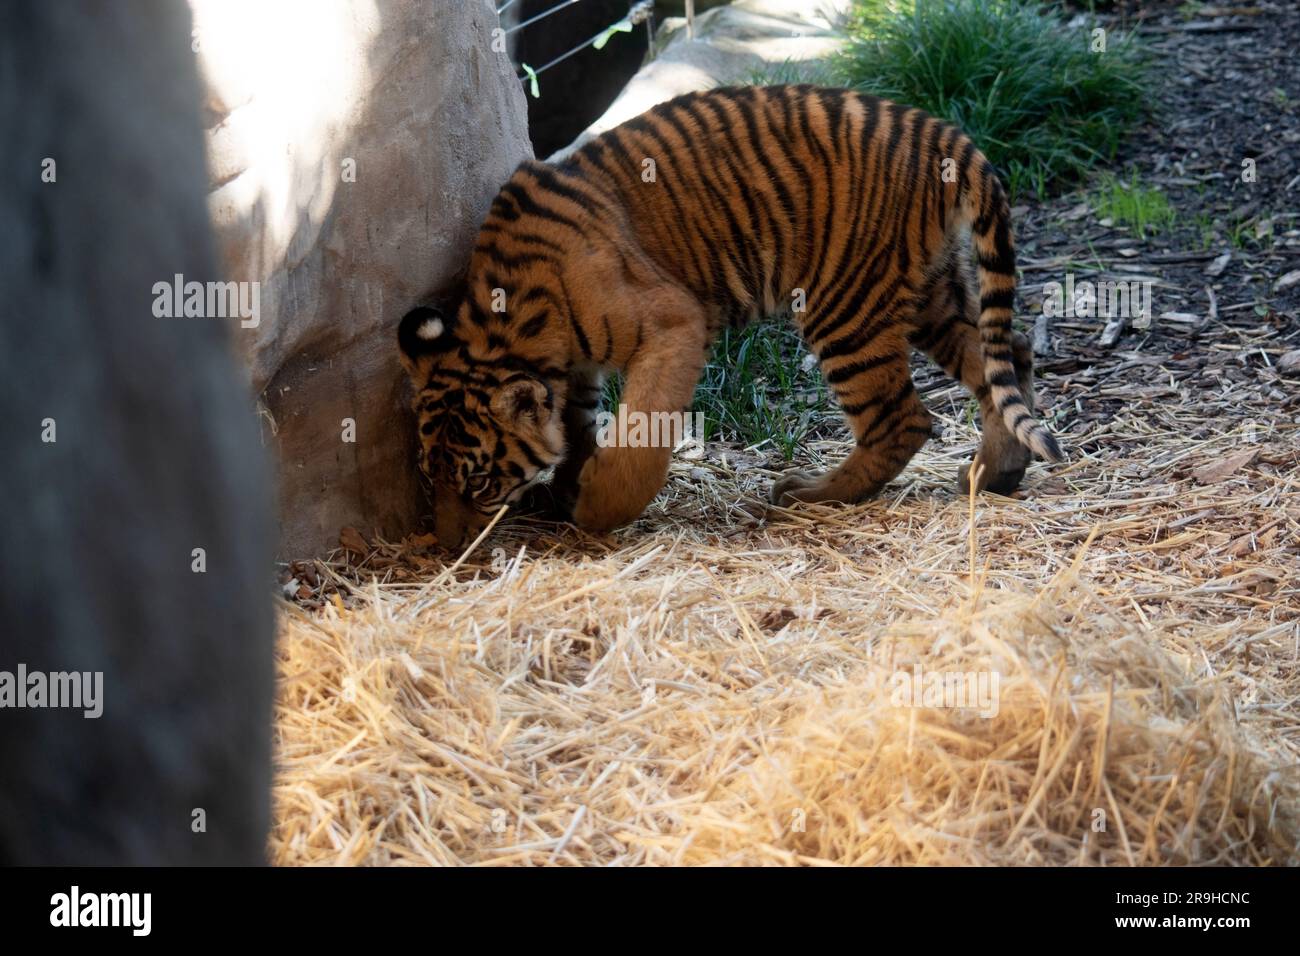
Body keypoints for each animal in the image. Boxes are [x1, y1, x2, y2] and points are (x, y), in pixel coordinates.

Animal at [398, 85, 1063, 549]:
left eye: (479, 484)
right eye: (430, 480)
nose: (447, 546)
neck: (503, 326)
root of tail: (943, 134)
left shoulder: (671, 323)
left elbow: (643, 435)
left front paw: (594, 506)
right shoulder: (576, 369)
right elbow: (577, 424)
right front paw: (568, 484)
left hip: (845, 305)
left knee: (902, 418)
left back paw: (808, 494)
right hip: (930, 294)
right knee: (1007, 354)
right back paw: (994, 474)